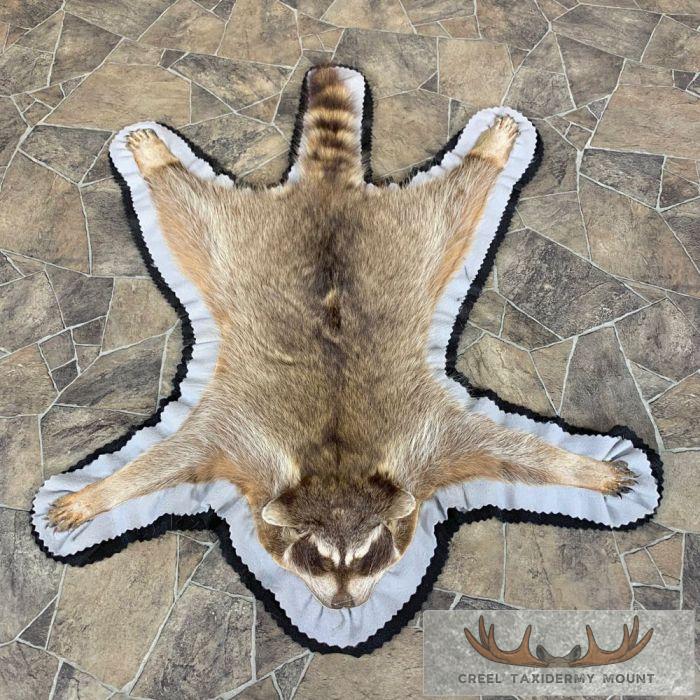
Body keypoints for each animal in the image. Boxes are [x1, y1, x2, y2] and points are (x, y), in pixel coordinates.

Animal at [48, 66, 635, 609]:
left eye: (370, 555)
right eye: (313, 556)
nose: (346, 605)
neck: (336, 470)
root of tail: (327, 187)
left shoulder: (429, 443)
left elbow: (513, 451)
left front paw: (587, 469)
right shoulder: (239, 442)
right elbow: (165, 461)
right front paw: (97, 495)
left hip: (408, 240)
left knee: (456, 198)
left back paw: (488, 153)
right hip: (238, 247)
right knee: (188, 206)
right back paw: (158, 160)